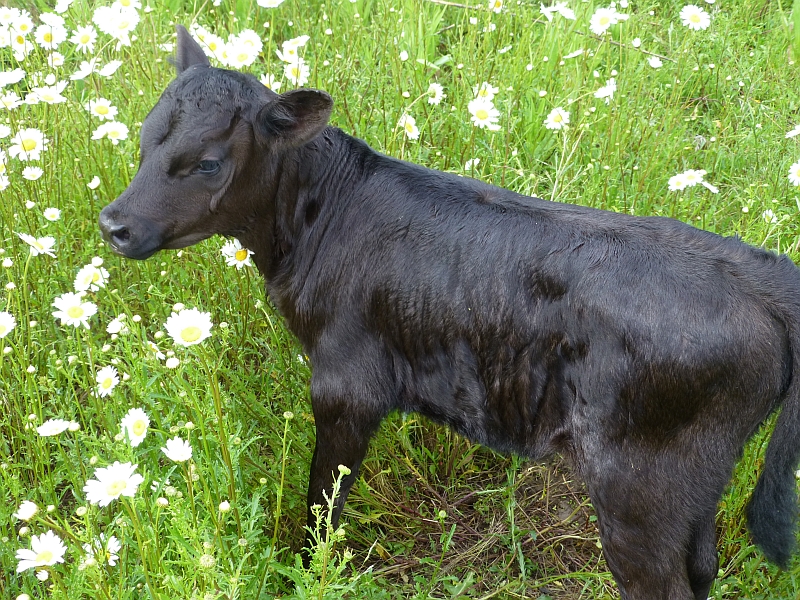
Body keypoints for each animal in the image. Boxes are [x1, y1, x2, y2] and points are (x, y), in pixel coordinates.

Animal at [98, 25, 800, 600]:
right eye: (144, 139)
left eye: (208, 162)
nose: (115, 224)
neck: (317, 218)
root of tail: (760, 271)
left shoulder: (345, 387)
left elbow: (324, 504)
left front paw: (303, 572)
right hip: (695, 480)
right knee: (703, 565)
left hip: (638, 486)